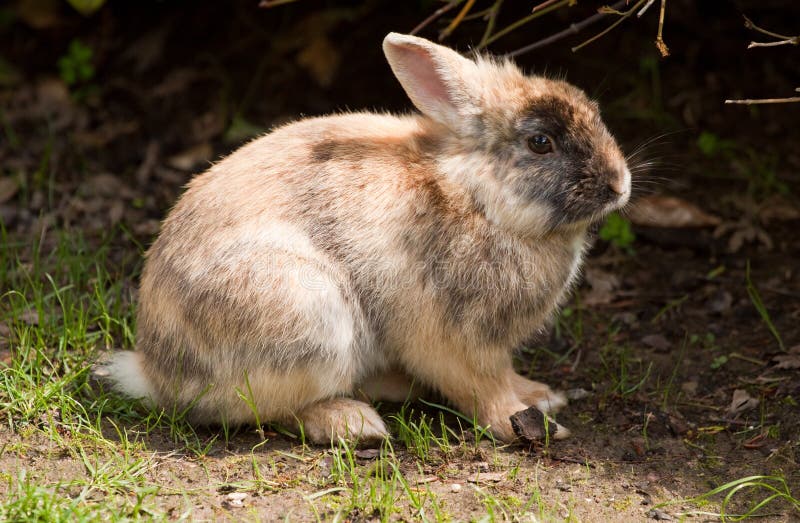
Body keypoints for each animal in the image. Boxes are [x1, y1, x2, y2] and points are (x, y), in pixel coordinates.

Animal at [95, 32, 631, 444]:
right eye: (540, 142)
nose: (620, 184)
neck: (477, 197)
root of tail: (157, 372)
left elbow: (506, 377)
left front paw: (541, 395)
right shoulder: (455, 342)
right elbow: (485, 389)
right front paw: (526, 423)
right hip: (308, 320)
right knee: (261, 409)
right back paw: (353, 424)